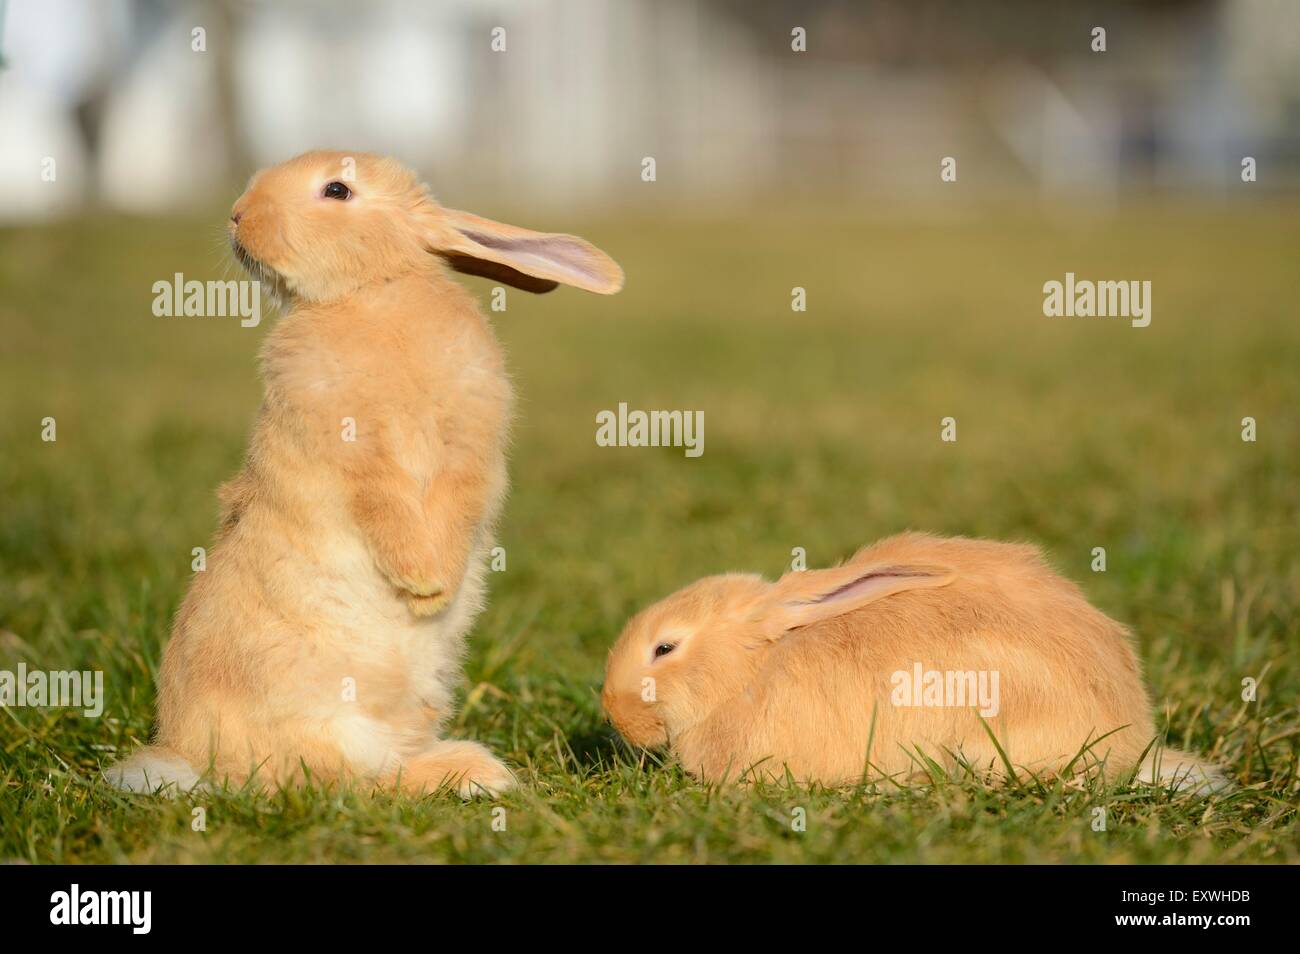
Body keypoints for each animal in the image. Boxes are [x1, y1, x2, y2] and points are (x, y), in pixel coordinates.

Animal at [105, 150, 622, 798]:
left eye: (337, 190)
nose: (237, 216)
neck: (371, 292)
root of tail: (197, 761)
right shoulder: (356, 454)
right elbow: (384, 506)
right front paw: (425, 587)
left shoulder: (469, 448)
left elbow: (453, 504)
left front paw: (433, 589)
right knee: (355, 782)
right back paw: (477, 771)